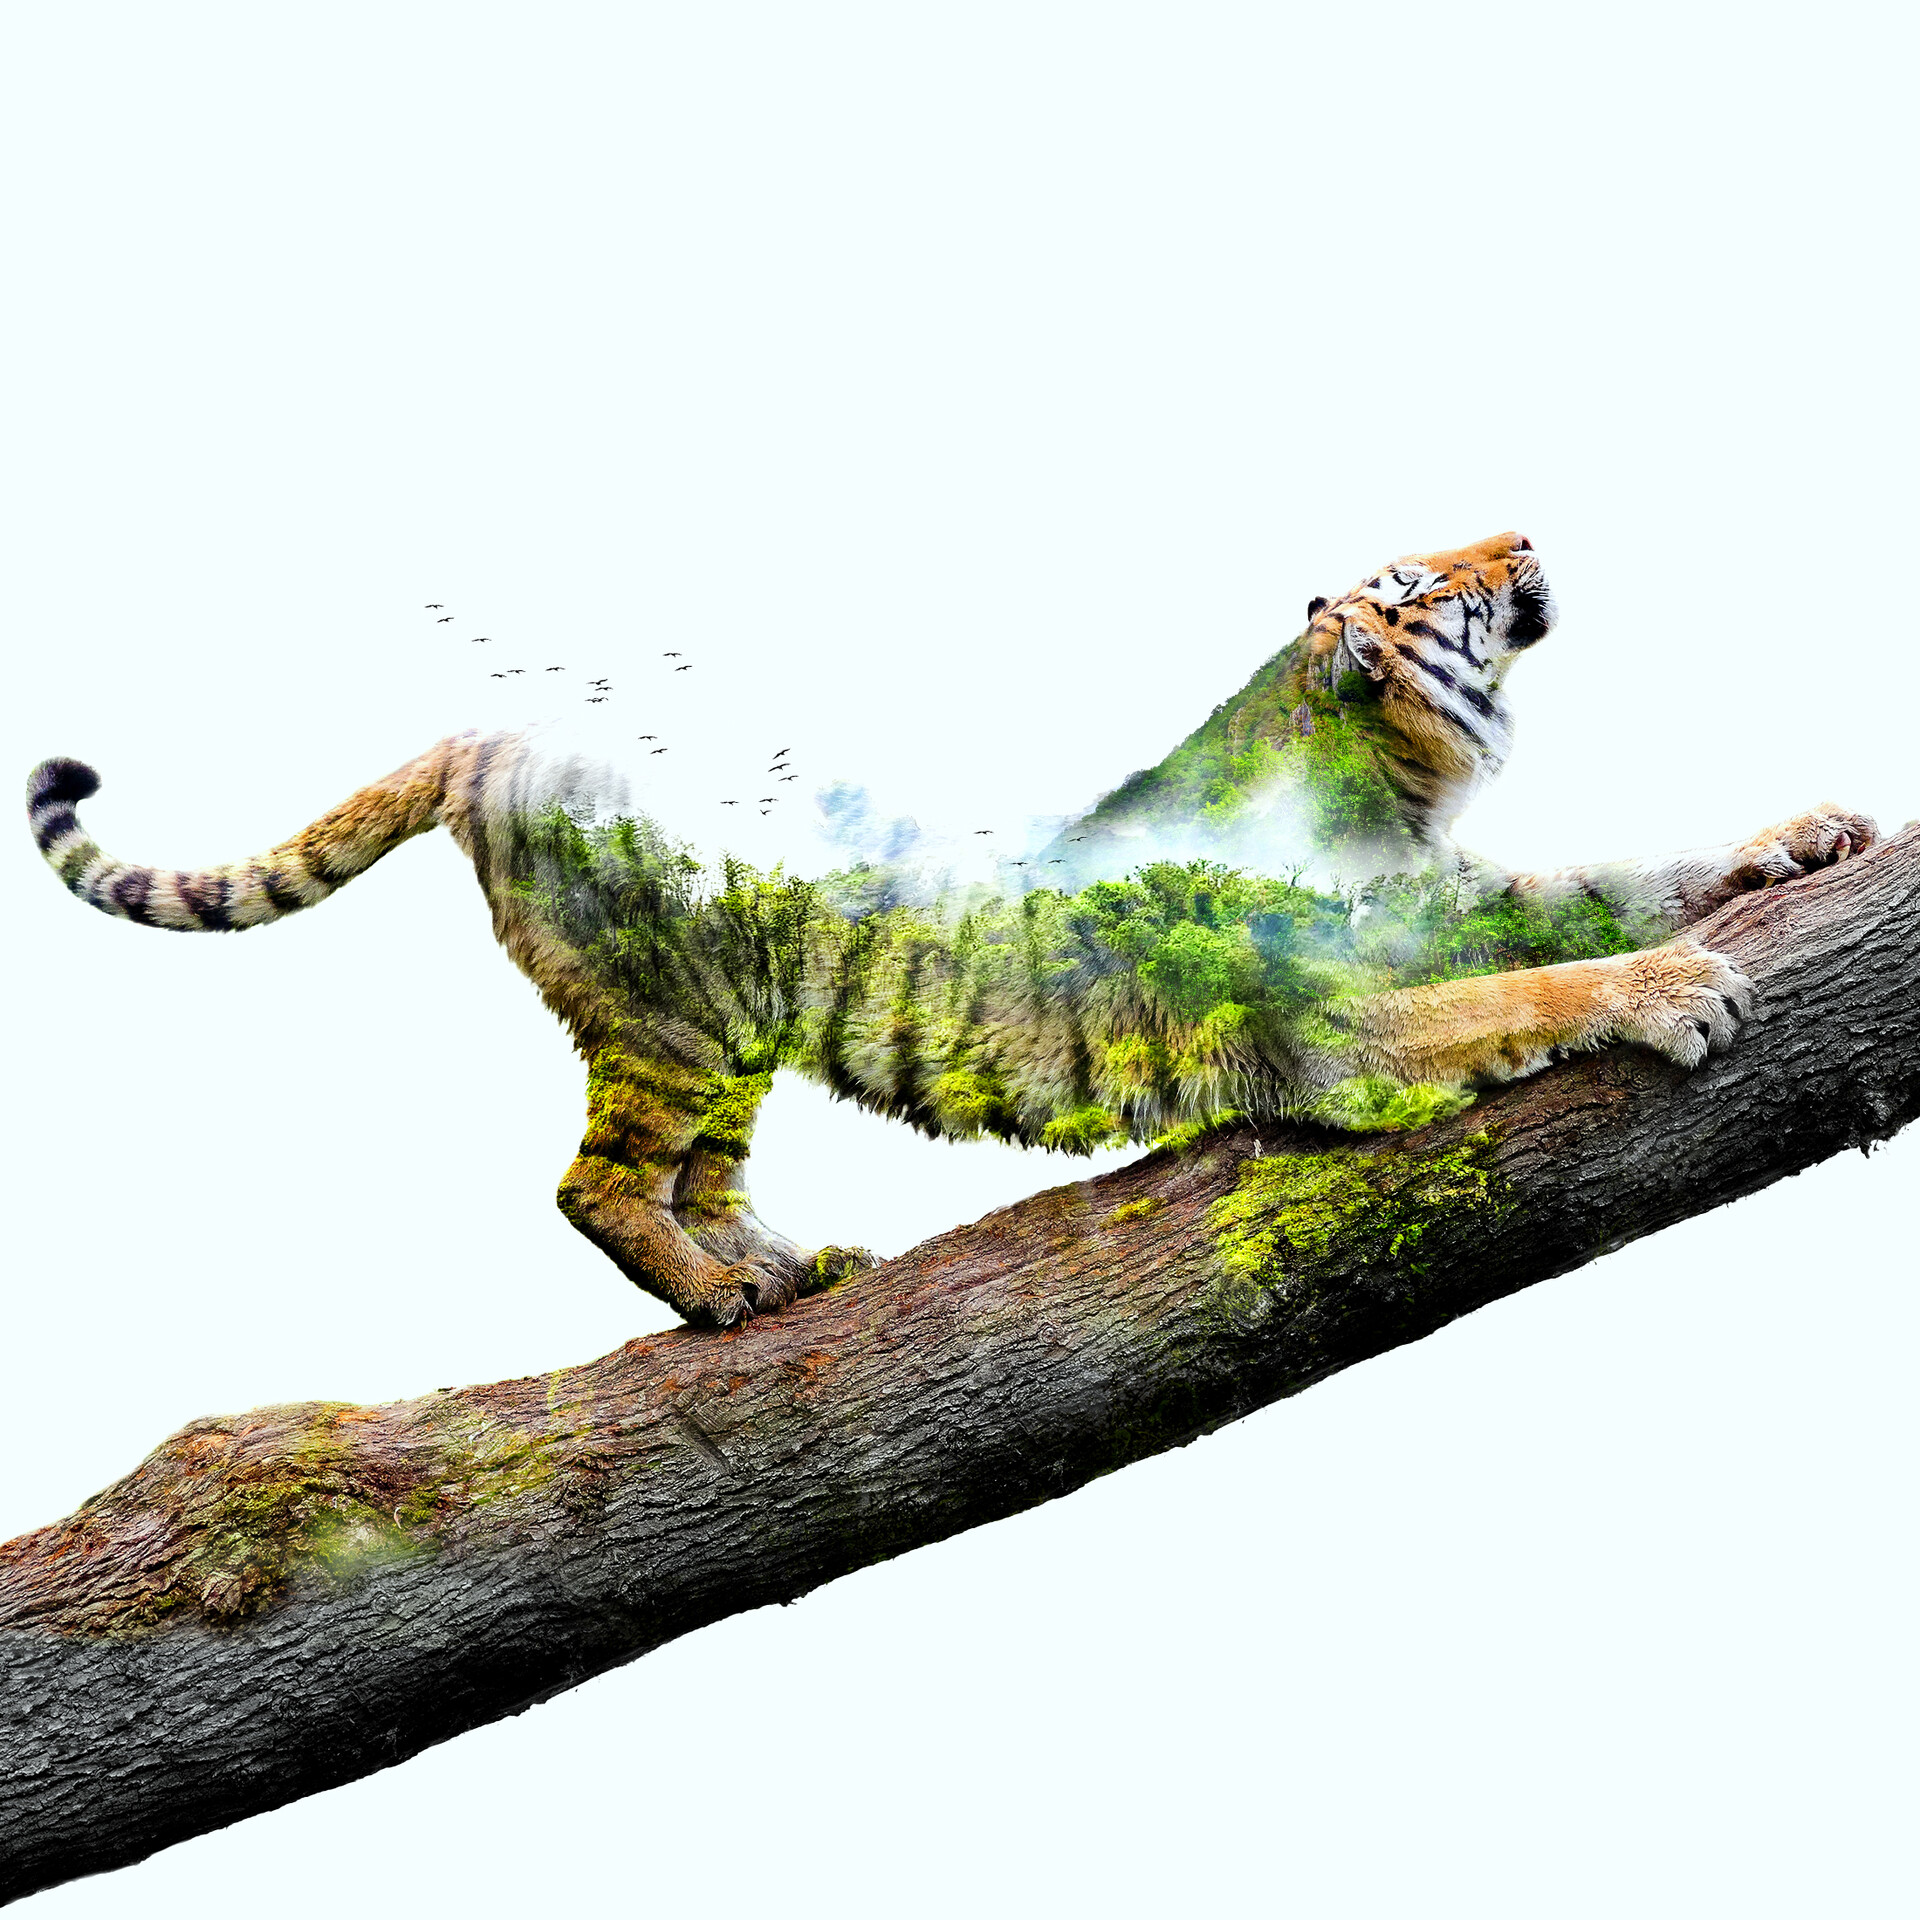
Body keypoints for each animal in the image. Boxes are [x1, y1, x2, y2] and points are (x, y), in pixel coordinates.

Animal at [26, 532, 1875, 1330]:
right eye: (1428, 583)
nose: (1529, 537)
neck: (1388, 790)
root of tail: (494, 735)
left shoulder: (1445, 896)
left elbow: (1604, 876)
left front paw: (1798, 837)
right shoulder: (1329, 1031)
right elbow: (1548, 977)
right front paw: (1679, 986)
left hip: (738, 1036)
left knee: (697, 1172)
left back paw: (785, 1267)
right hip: (669, 1019)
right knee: (590, 1184)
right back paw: (722, 1298)